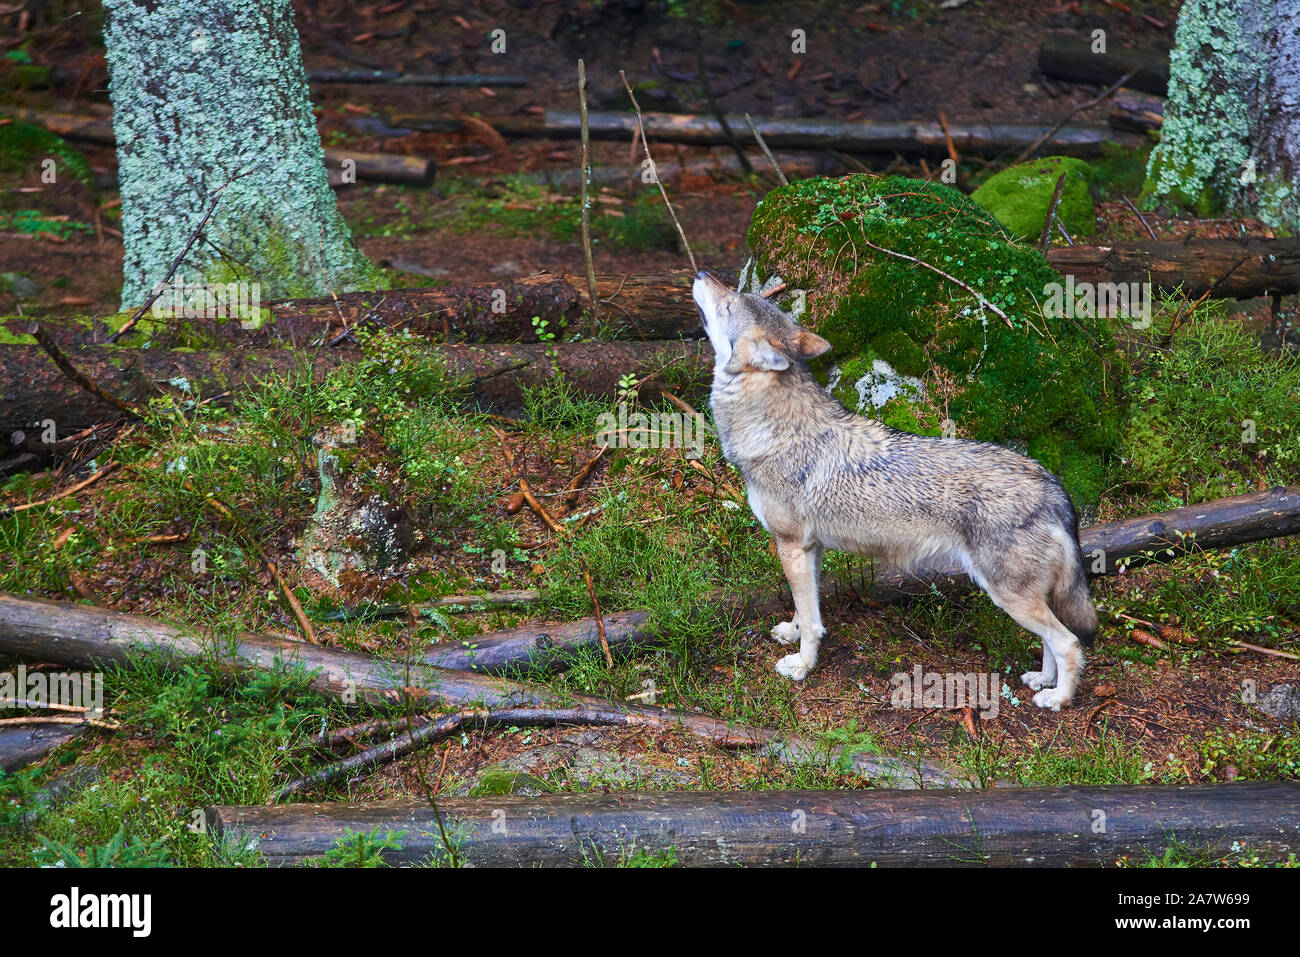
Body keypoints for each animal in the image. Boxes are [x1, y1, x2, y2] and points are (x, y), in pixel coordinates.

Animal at [693, 271, 1097, 709]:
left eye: (729, 303)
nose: (701, 274)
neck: (774, 428)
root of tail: (1053, 487)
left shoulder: (791, 545)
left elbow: (813, 621)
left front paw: (802, 666)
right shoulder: (808, 548)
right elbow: (806, 609)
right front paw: (792, 632)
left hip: (1009, 596)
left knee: (1069, 642)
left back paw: (1058, 699)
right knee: (1051, 641)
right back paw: (1043, 681)